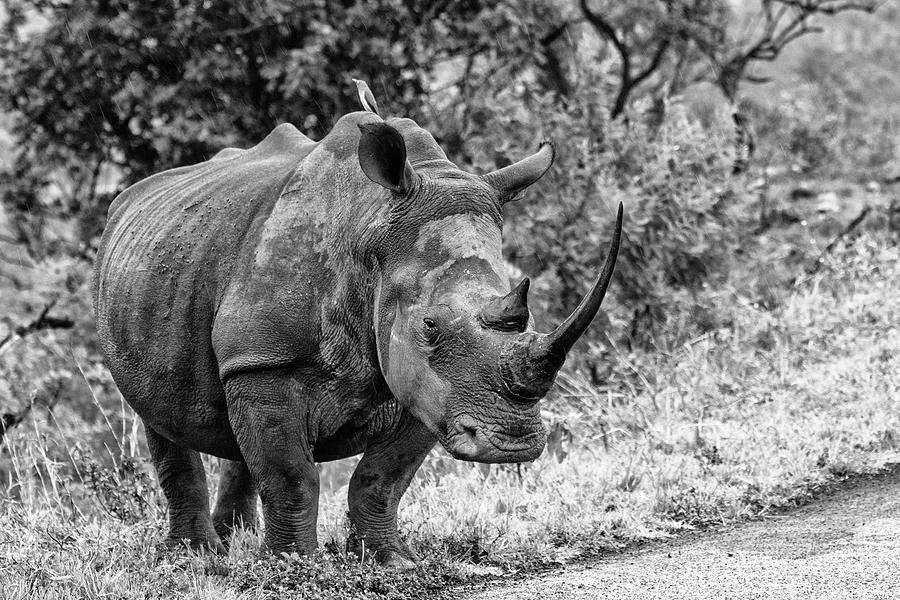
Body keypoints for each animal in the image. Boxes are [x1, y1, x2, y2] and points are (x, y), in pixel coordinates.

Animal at [92, 93, 622, 567]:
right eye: (429, 324)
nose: (513, 442)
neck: (370, 229)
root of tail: (129, 200)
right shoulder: (269, 361)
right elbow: (291, 476)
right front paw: (292, 568)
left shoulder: (428, 386)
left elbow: (381, 479)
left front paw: (390, 562)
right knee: (158, 415)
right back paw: (193, 558)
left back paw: (233, 542)